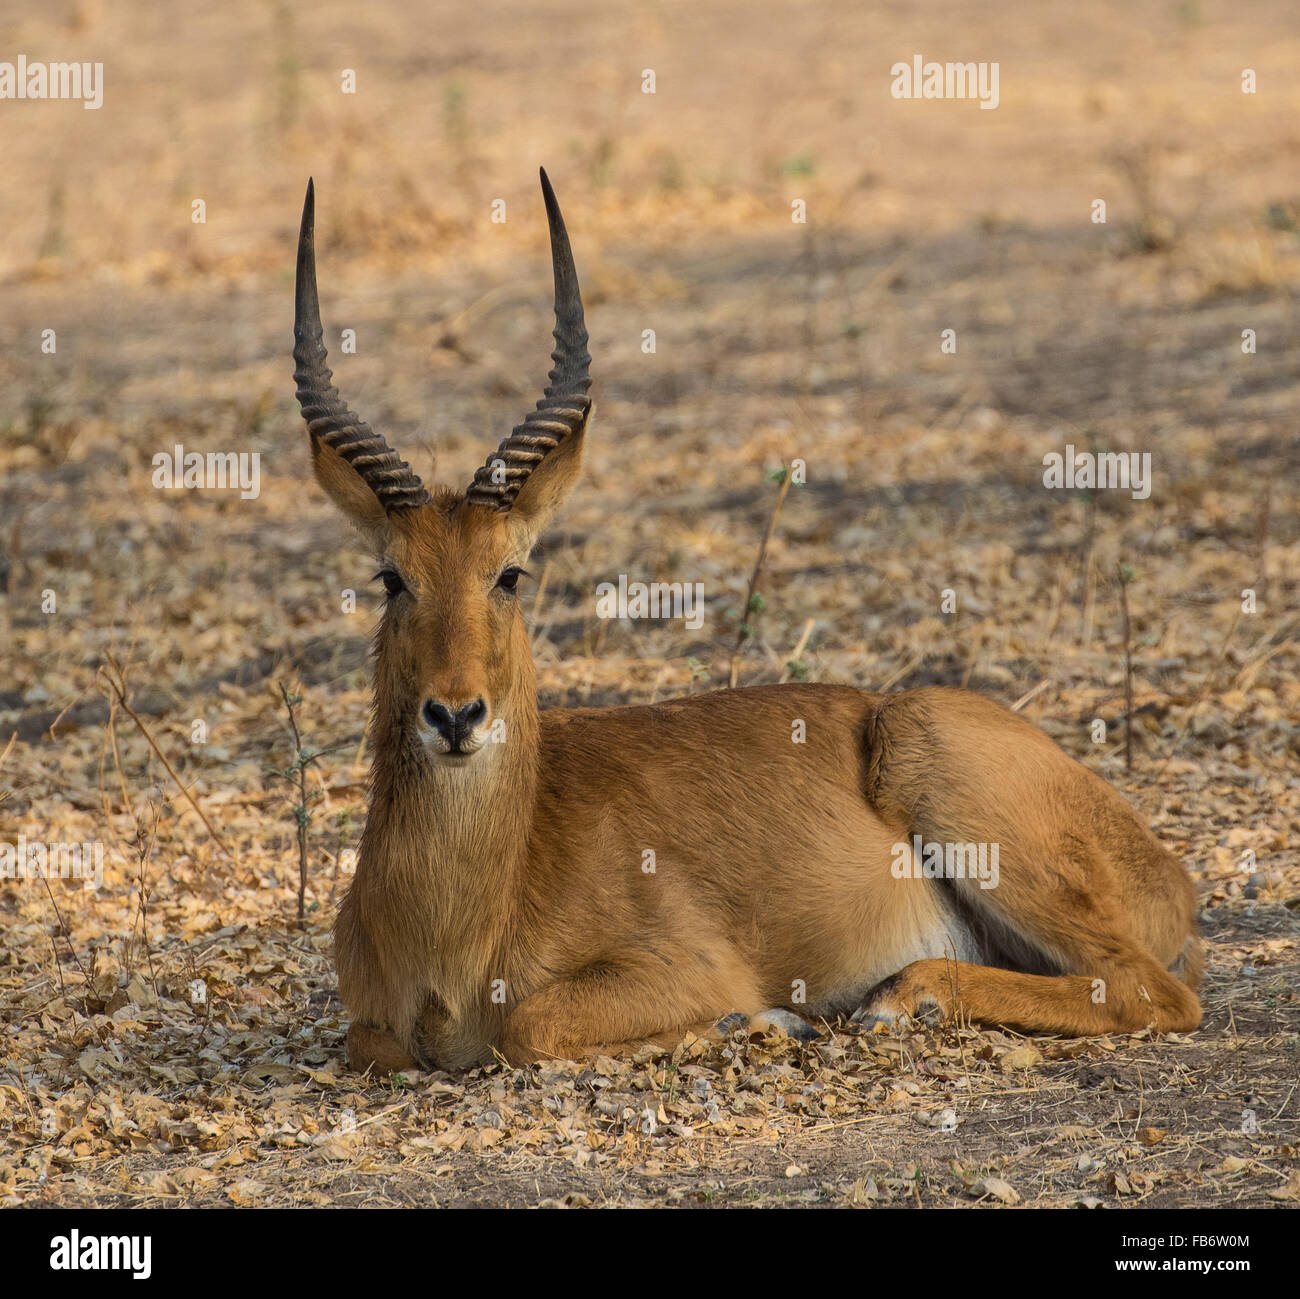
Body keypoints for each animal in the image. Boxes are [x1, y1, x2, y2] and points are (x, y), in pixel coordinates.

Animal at [290, 170, 1202, 1073]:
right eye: (392, 576)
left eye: (509, 572)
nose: (455, 715)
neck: (463, 928)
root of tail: (1167, 873)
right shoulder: (375, 1030)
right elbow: (374, 1040)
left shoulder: (679, 966)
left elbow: (532, 1025)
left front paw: (758, 1021)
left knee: (1151, 989)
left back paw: (901, 998)